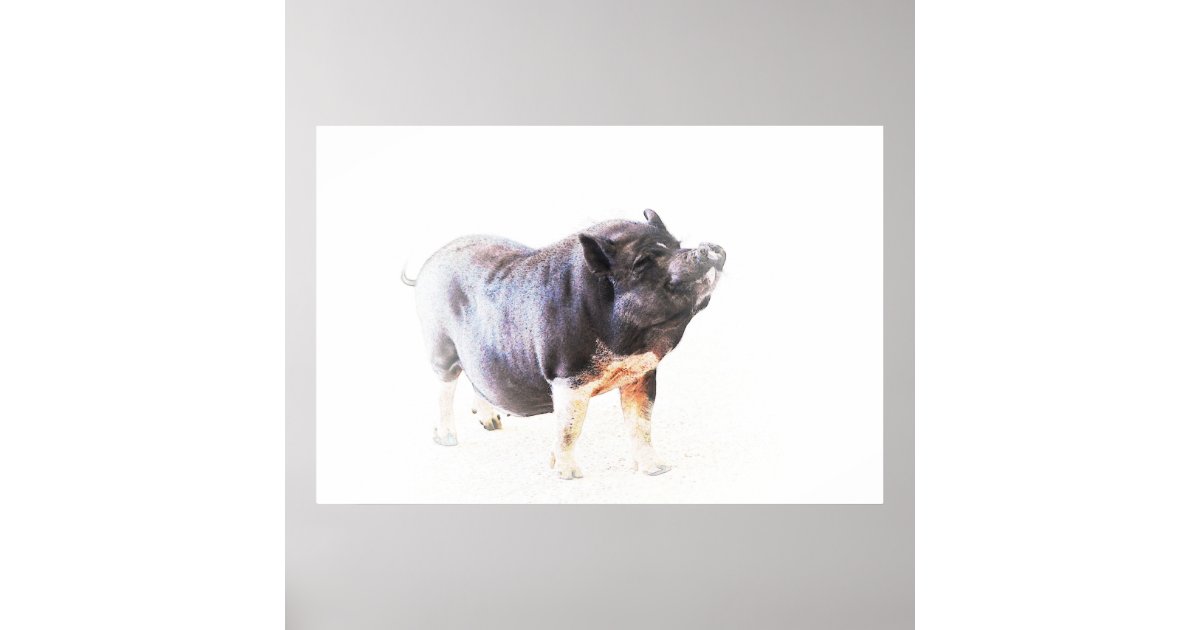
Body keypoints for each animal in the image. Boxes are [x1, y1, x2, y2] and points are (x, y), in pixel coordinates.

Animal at [401, 209, 725, 479]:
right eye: (642, 262)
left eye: (676, 244)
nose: (710, 247)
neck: (629, 344)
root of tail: (429, 263)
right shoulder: (567, 376)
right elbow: (570, 428)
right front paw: (569, 475)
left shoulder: (641, 372)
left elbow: (641, 423)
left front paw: (658, 470)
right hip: (439, 344)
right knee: (445, 387)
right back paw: (447, 439)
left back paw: (494, 424)